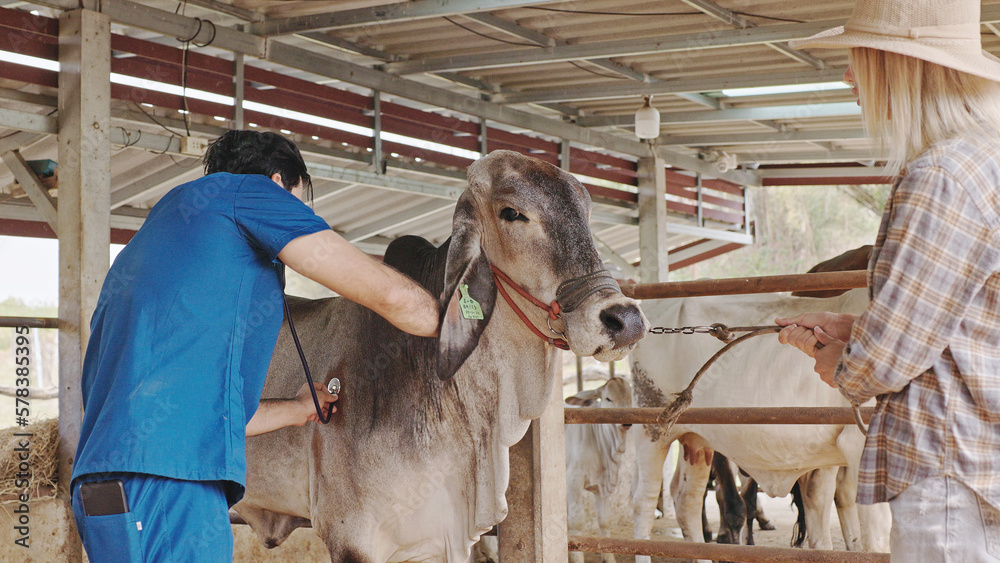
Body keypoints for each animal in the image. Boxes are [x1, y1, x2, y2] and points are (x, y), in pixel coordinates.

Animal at [565, 377, 633, 563]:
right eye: (608, 398)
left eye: (629, 397)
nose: (626, 421)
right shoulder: (573, 481)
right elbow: (576, 520)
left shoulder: (602, 486)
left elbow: (604, 520)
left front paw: (609, 559)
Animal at [630, 288, 891, 562]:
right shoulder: (859, 445)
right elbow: (878, 539)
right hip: (651, 428)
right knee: (644, 502)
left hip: (697, 440)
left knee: (687, 500)